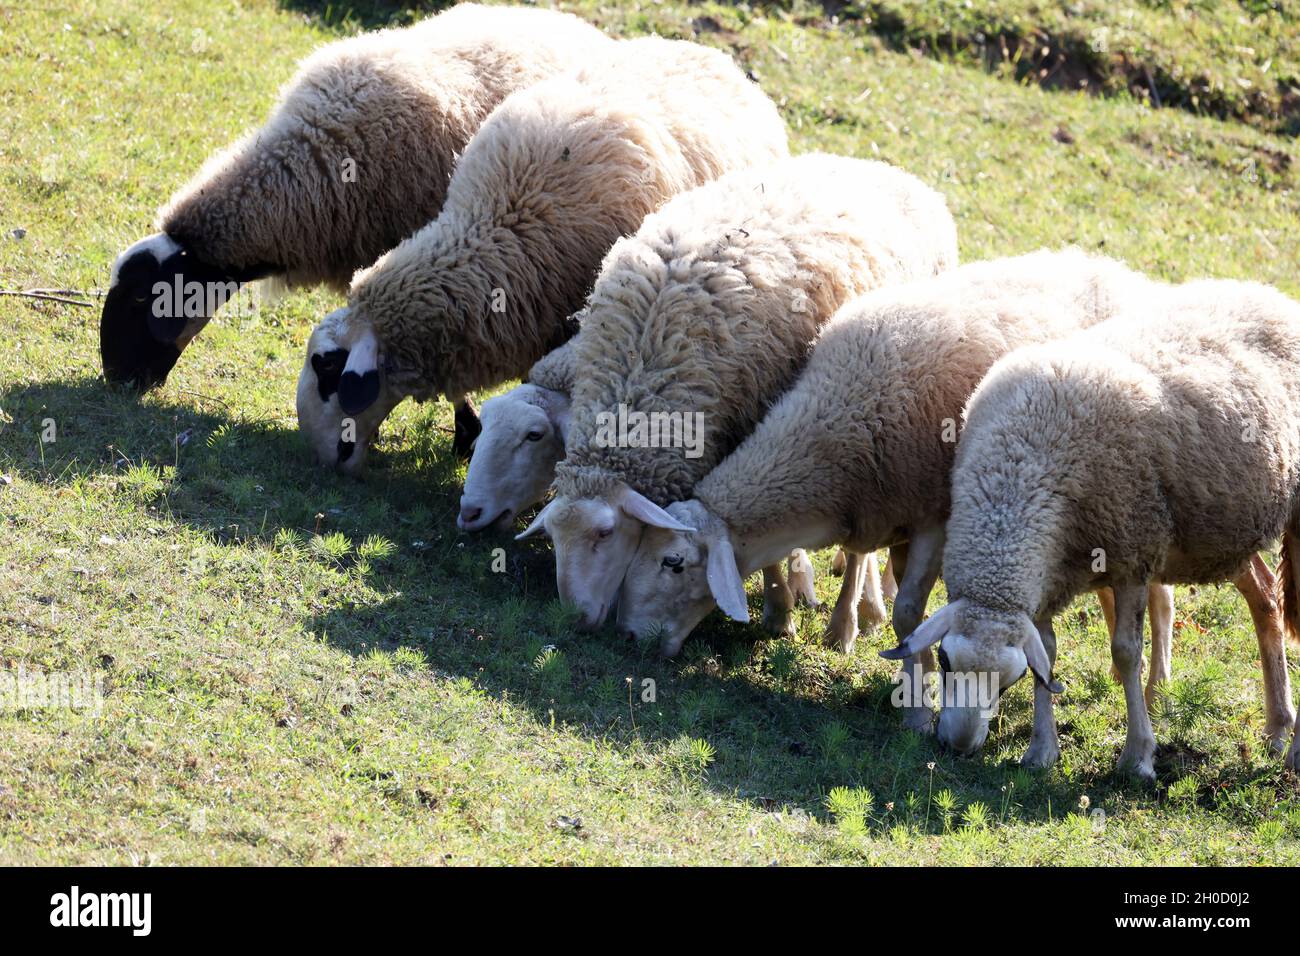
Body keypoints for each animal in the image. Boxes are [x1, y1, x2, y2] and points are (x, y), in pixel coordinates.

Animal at [516, 153, 959, 633]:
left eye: (605, 532)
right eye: (553, 535)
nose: (574, 619)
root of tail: (893, 171)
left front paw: (781, 610)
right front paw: (782, 600)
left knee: (861, 543)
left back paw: (854, 613)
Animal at [613, 249, 1186, 733]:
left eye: (672, 562)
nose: (626, 635)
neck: (836, 427)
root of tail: (1122, 274)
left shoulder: (937, 517)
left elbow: (910, 611)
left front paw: (918, 706)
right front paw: (922, 673)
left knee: (1157, 589)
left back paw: (1156, 685)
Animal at [882, 277, 1300, 776]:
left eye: (1008, 681)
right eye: (944, 663)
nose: (958, 747)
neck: (1022, 466)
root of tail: (1265, 292)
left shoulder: (1134, 553)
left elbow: (1126, 653)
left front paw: (1137, 755)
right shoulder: (1048, 575)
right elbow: (1049, 651)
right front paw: (1041, 751)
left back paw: (1291, 746)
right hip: (1222, 532)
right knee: (1265, 597)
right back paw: (1277, 728)